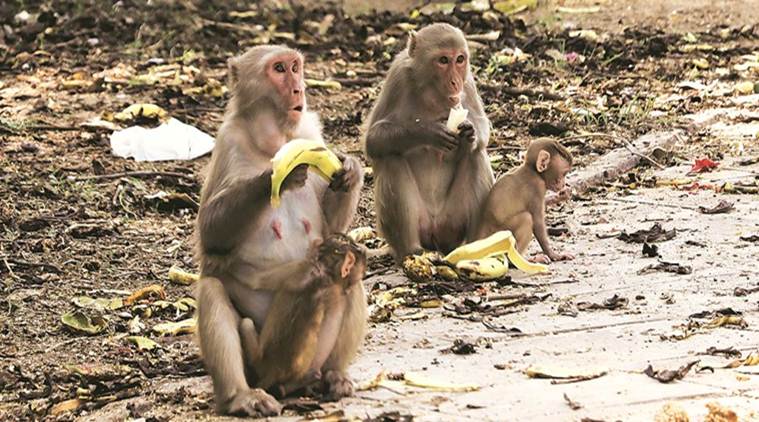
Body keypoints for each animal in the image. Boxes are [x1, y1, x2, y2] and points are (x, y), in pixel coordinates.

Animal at [239, 234, 367, 399]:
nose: (362, 250)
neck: (325, 271)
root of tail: (271, 370)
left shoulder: (301, 267)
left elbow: (255, 279)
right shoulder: (305, 269)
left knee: (246, 323)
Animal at [362, 23, 494, 262]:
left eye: (460, 59)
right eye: (443, 60)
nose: (455, 82)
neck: (430, 91)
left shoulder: (468, 81)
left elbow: (480, 125)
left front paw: (469, 131)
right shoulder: (397, 77)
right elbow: (373, 140)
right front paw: (428, 132)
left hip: (452, 223)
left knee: (476, 155)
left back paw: (474, 246)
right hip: (419, 226)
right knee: (391, 157)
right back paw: (411, 250)